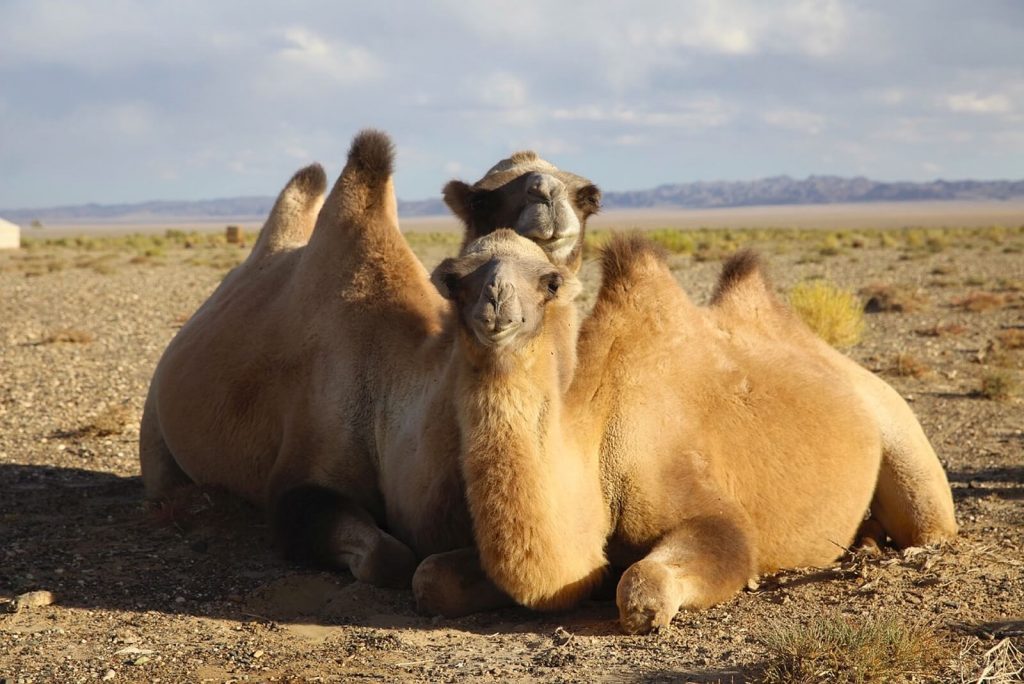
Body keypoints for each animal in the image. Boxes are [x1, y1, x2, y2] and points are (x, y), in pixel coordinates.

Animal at [138, 130, 601, 591]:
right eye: (481, 200)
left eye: (589, 197)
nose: (547, 192)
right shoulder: (300, 479)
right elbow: (388, 556)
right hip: (156, 424)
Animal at [430, 230, 957, 634]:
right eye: (454, 280)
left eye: (550, 280)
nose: (496, 304)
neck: (594, 445)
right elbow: (430, 576)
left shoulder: (700, 498)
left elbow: (651, 585)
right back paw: (863, 542)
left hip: (899, 427)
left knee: (928, 523)